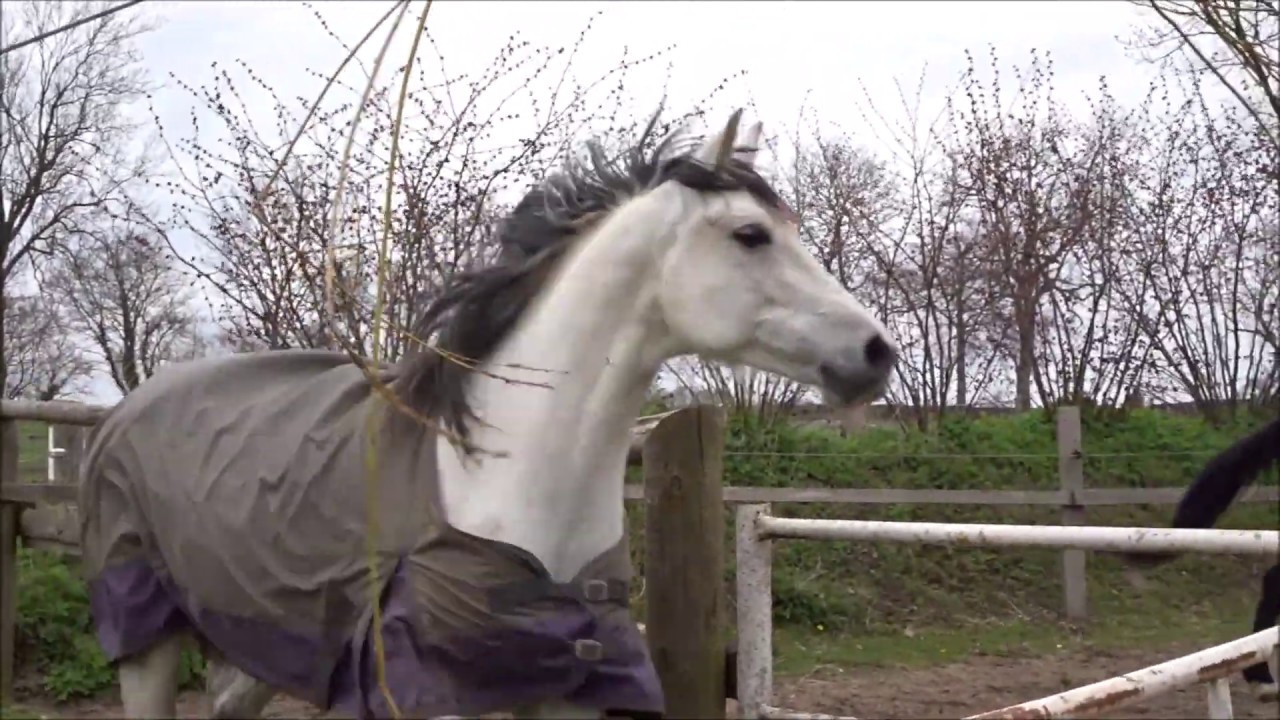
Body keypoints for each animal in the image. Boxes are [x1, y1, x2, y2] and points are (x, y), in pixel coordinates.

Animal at [77, 109, 899, 719]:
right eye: (750, 235)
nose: (877, 351)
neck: (504, 475)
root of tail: (129, 410)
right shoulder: (425, 692)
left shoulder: (571, 689)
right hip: (146, 643)